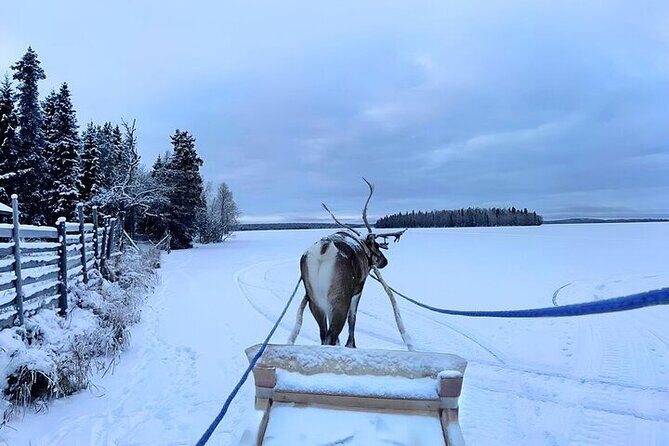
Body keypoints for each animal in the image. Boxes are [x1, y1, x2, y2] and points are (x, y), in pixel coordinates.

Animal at [293, 179, 406, 348]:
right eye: (377, 246)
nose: (385, 261)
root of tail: (323, 250)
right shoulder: (359, 288)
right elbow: (353, 318)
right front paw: (351, 344)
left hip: (314, 300)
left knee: (323, 334)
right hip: (340, 298)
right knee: (332, 334)